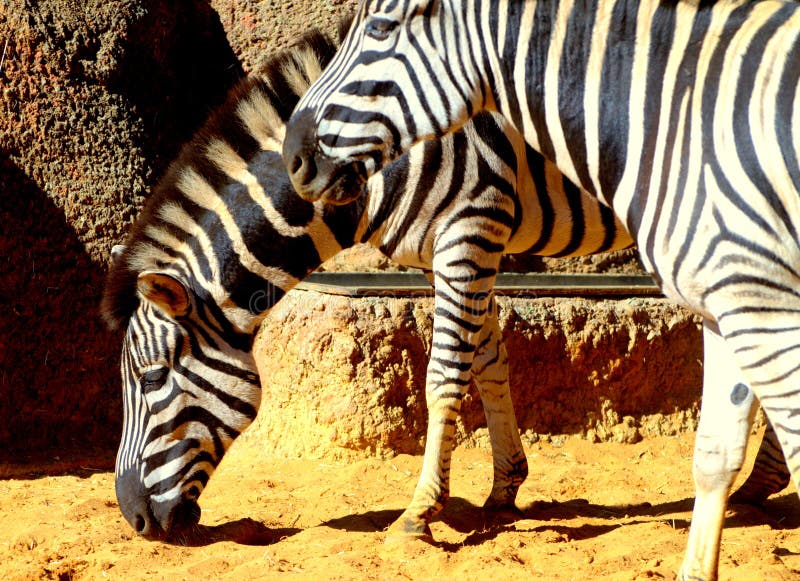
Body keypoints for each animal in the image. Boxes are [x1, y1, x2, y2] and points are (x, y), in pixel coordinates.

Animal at [100, 20, 640, 540]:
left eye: (152, 378)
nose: (134, 519)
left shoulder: (471, 226)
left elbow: (444, 375)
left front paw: (419, 514)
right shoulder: (447, 251)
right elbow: (488, 361)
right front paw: (504, 490)